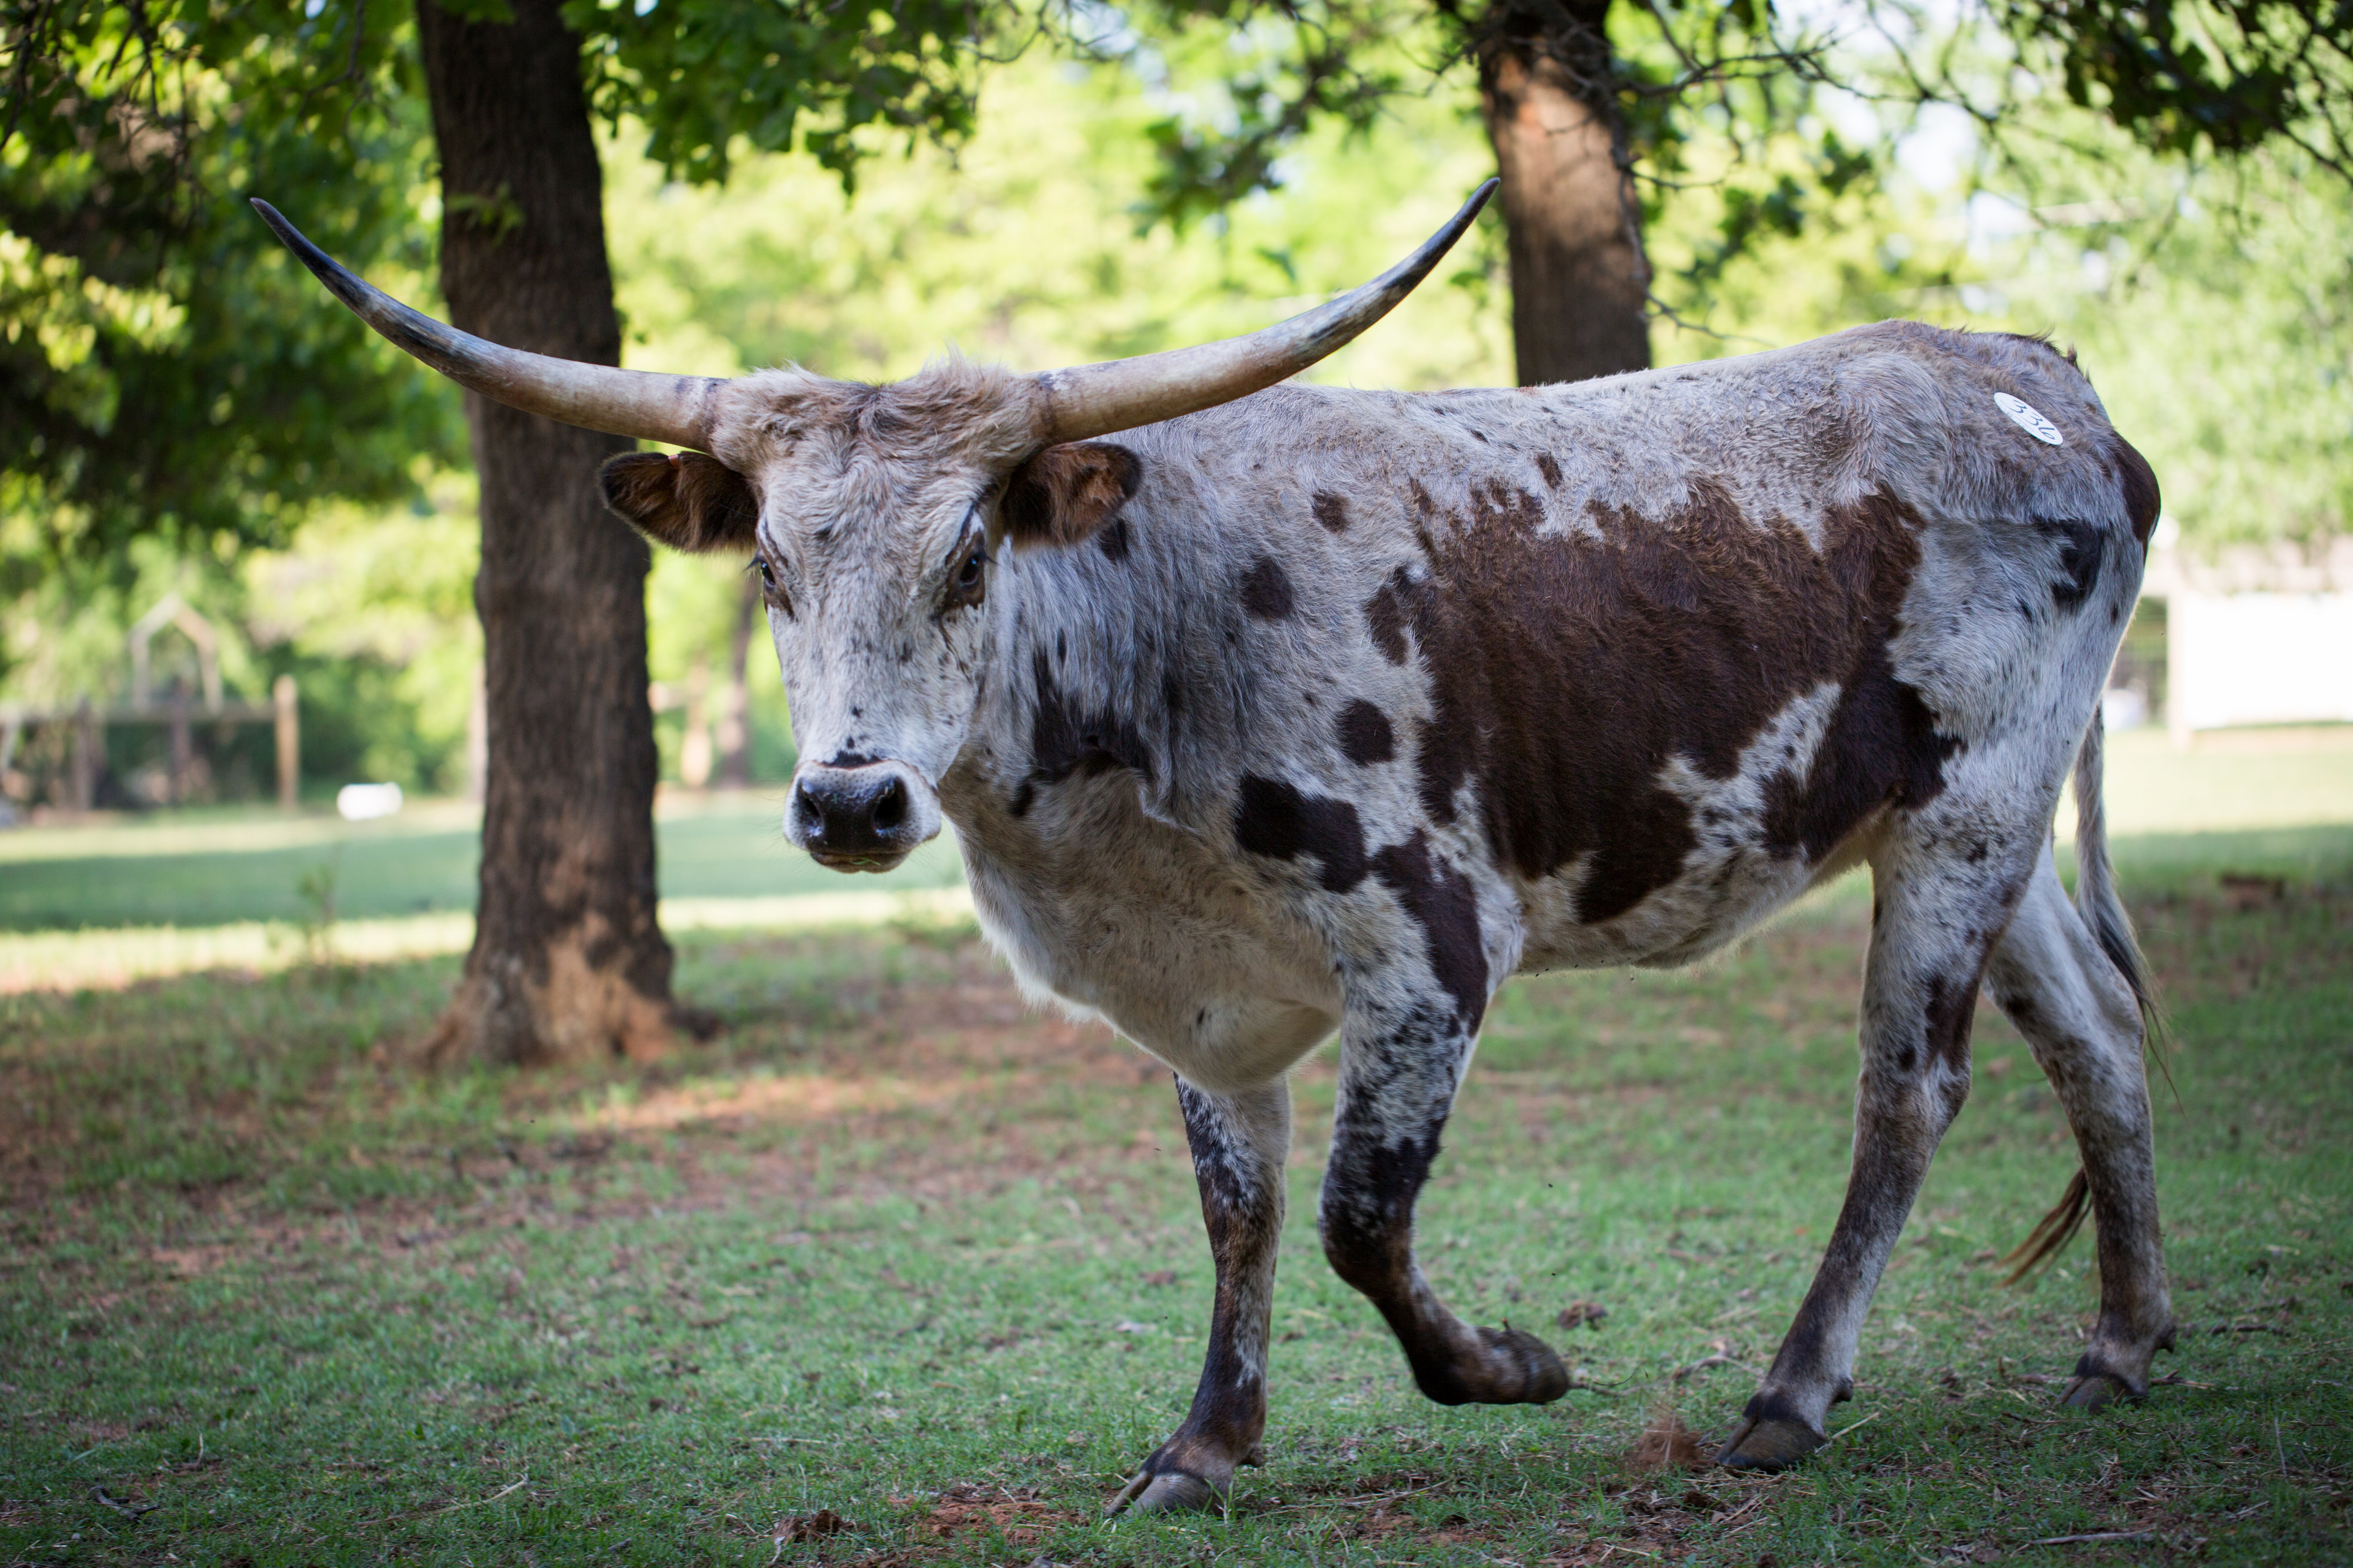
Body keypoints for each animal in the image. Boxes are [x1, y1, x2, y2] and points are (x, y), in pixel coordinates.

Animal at [256, 183, 2174, 1512]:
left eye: (971, 553)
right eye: (774, 571)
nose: (850, 803)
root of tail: (2030, 372)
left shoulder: (1429, 947)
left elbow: (1354, 1217)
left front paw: (1510, 1366)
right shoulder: (1198, 996)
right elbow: (1239, 1207)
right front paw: (1205, 1442)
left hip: (1968, 814)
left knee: (1906, 1088)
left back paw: (1788, 1395)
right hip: (1965, 827)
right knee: (2094, 1033)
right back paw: (2121, 1340)